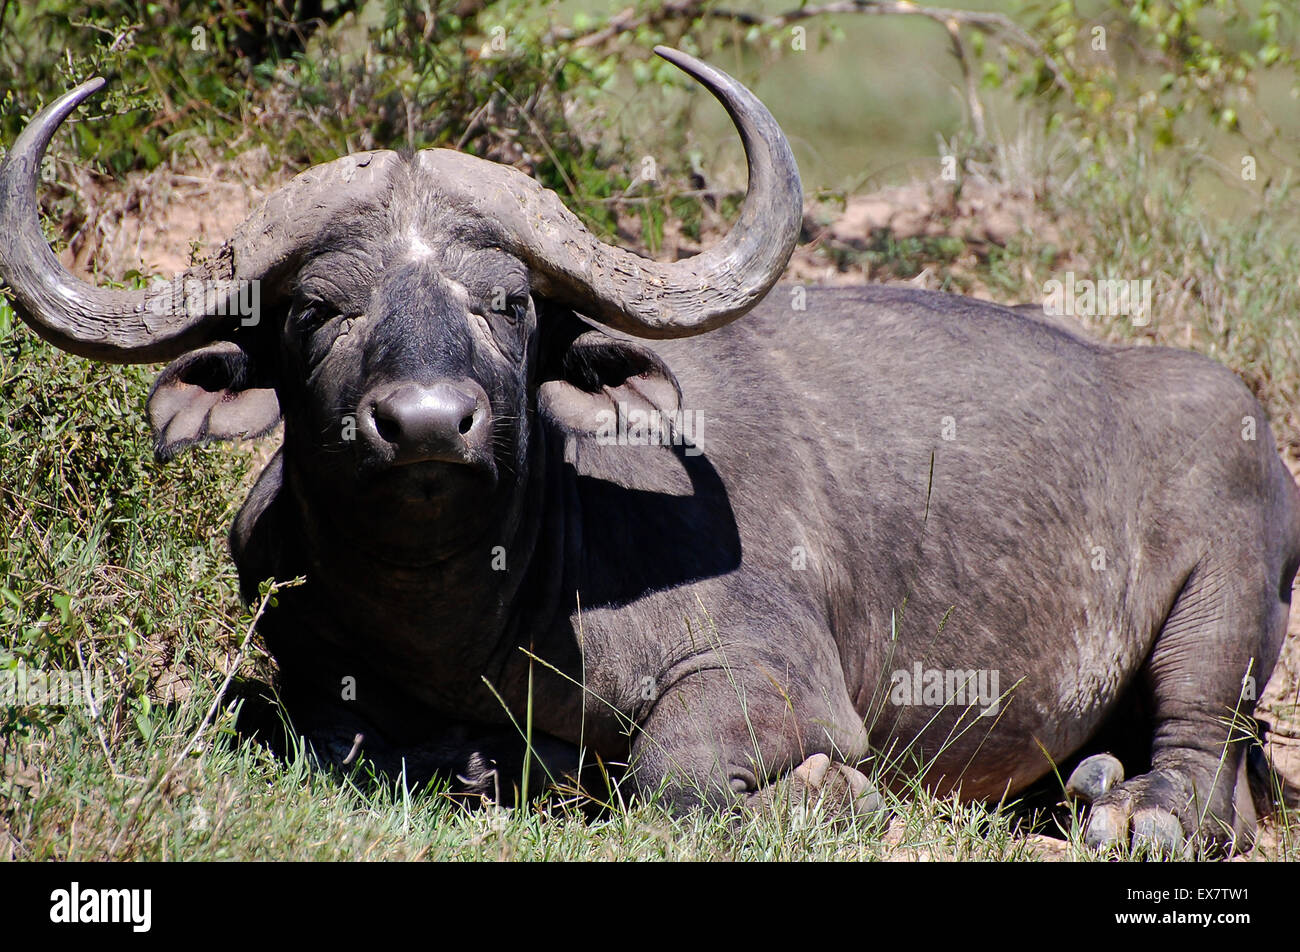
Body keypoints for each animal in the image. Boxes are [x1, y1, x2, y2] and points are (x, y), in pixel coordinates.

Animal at [2, 48, 1297, 855]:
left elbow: (673, 776)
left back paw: (1130, 810)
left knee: (1200, 759)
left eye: (506, 303)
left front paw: (827, 795)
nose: (423, 422)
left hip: (1222, 610)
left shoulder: (778, 675)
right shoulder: (303, 656)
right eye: (323, 308)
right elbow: (335, 734)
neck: (469, 616)